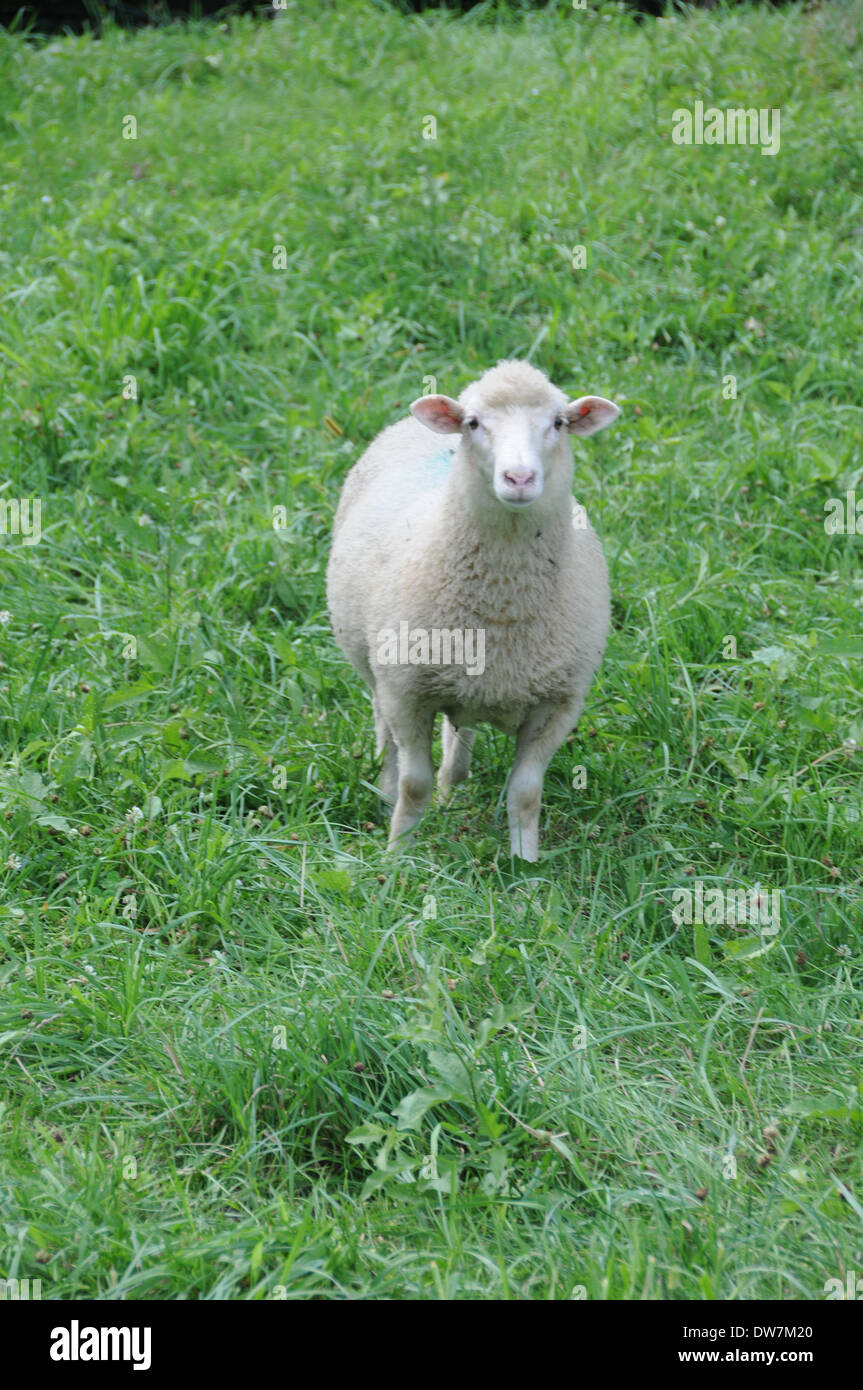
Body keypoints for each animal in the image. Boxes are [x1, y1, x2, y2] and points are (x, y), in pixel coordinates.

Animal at [326, 360, 620, 860]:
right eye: (474, 423)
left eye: (559, 423)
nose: (519, 478)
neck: (502, 605)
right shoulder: (406, 691)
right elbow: (414, 784)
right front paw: (397, 856)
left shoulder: (558, 703)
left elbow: (526, 791)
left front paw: (525, 862)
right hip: (378, 667)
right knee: (385, 732)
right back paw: (386, 792)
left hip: (463, 675)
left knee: (458, 734)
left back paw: (452, 788)